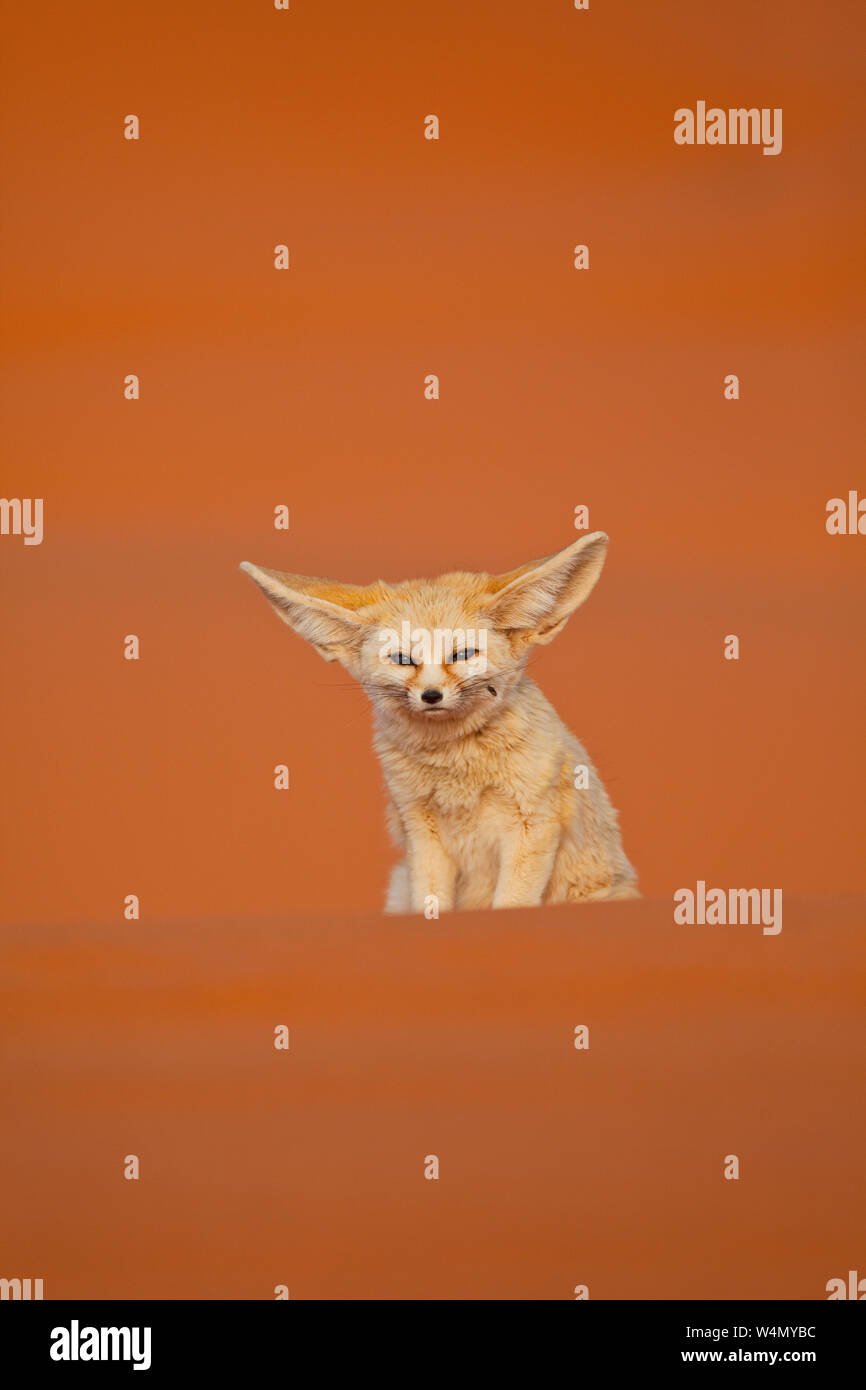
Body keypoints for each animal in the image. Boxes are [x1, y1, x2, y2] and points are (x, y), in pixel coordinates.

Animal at [240, 531, 638, 914]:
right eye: (403, 659)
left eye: (462, 654)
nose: (431, 695)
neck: (454, 766)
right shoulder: (420, 828)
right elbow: (430, 900)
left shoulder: (532, 824)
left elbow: (512, 901)